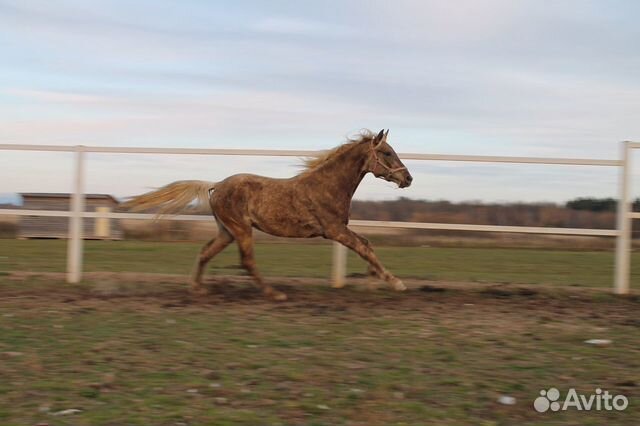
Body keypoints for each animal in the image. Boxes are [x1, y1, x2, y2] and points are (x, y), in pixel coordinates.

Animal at [124, 129, 413, 300]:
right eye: (387, 152)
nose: (408, 178)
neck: (327, 186)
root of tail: (215, 185)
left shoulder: (338, 229)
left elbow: (367, 244)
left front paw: (373, 280)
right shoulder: (333, 230)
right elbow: (364, 248)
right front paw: (395, 282)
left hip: (227, 231)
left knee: (206, 252)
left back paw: (197, 288)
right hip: (241, 229)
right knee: (247, 261)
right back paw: (274, 293)